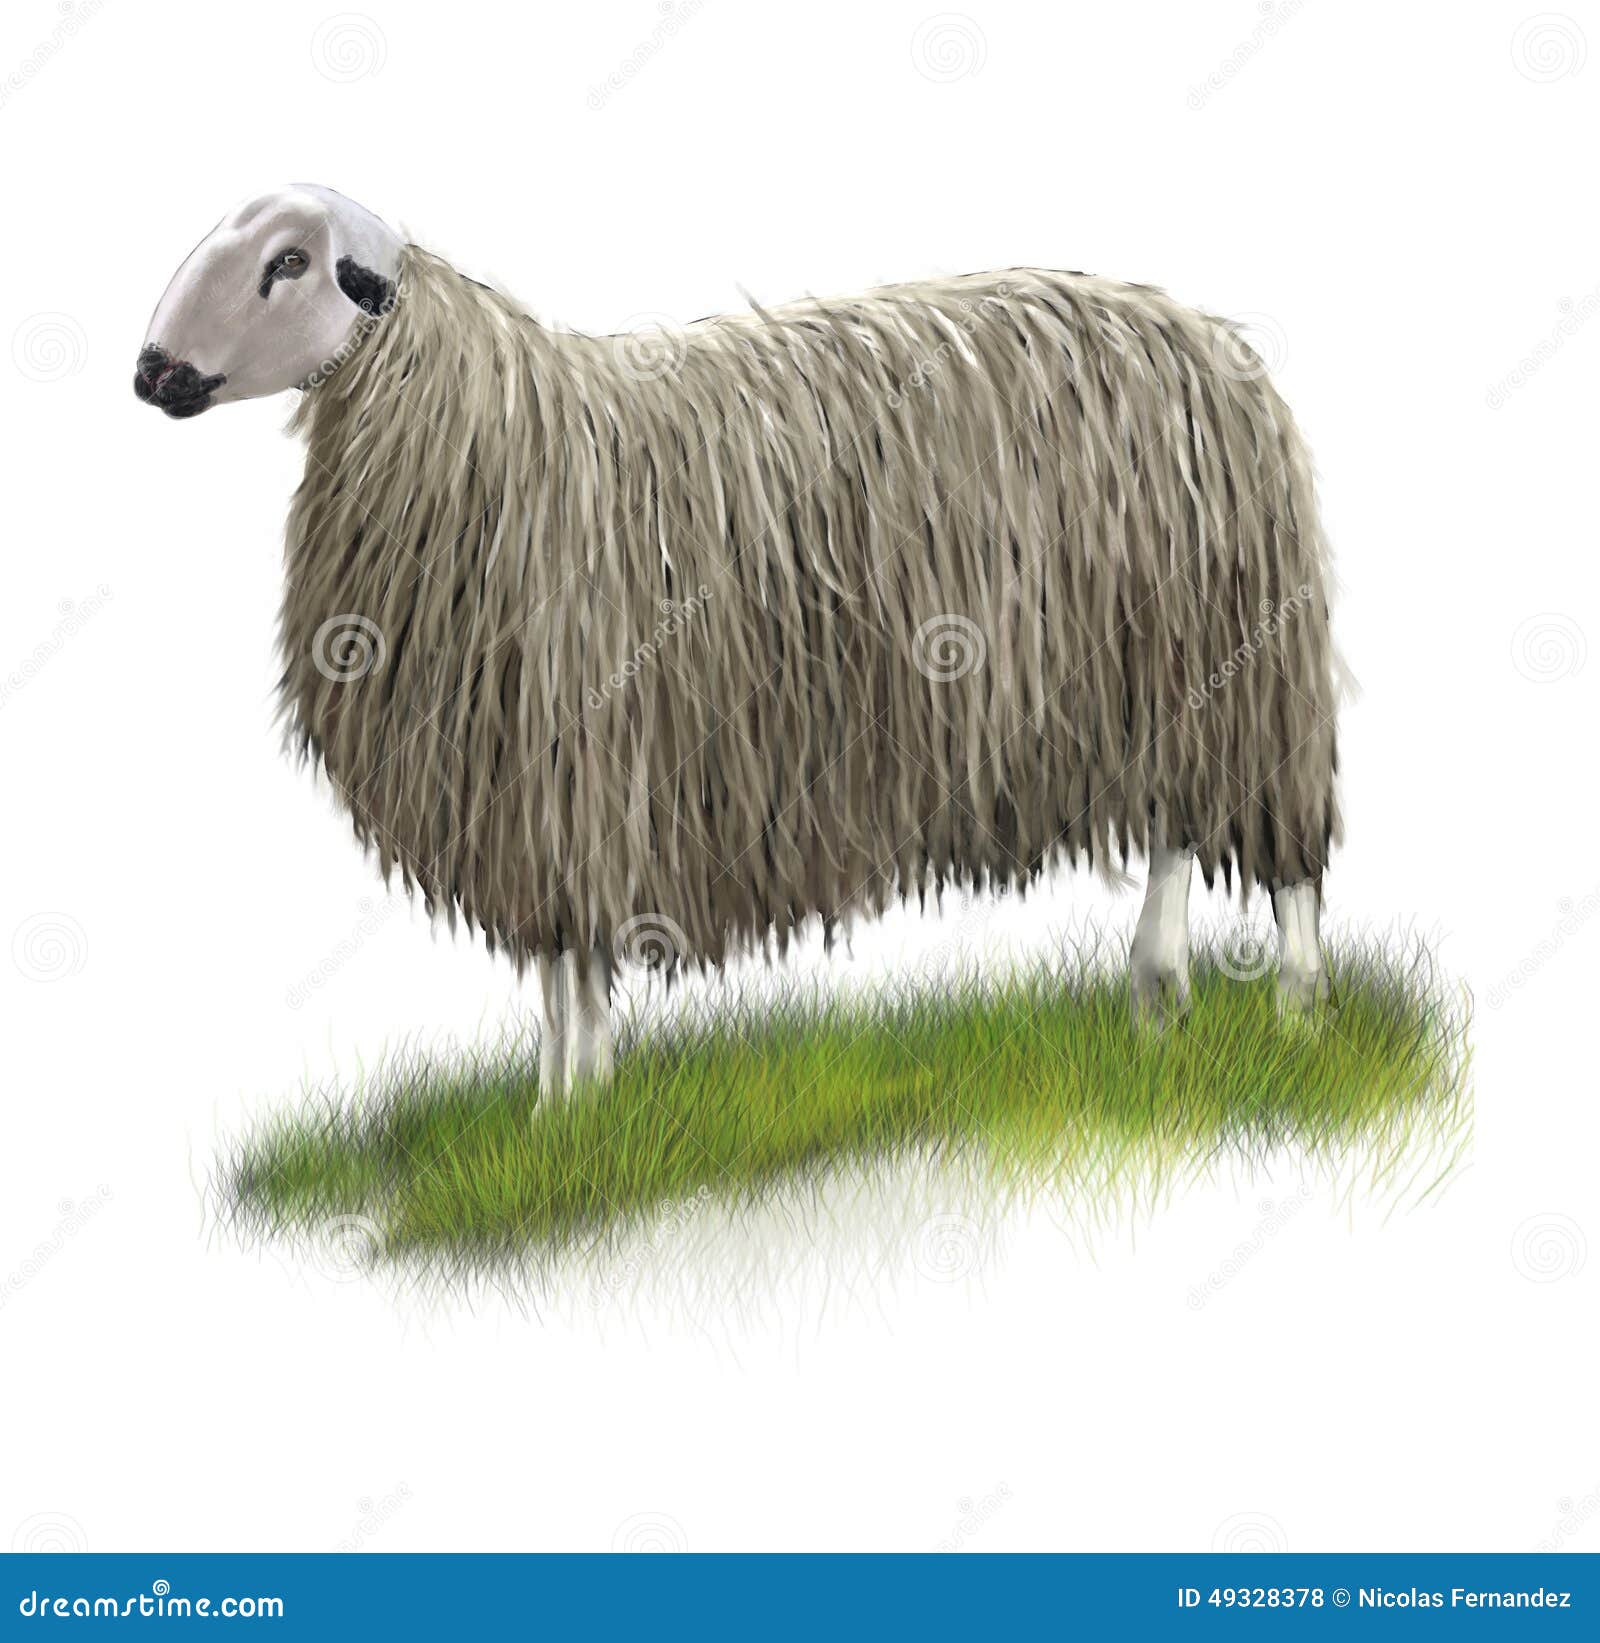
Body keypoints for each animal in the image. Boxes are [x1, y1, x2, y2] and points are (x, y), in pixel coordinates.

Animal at [137, 184, 1340, 1098]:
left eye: (289, 262)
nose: (152, 372)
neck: (480, 430)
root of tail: (1212, 342)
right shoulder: (529, 801)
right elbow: (560, 972)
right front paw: (558, 1107)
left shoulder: (576, 778)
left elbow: (574, 962)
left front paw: (580, 1105)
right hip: (1159, 677)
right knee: (1174, 825)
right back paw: (1158, 993)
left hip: (1239, 657)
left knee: (1275, 849)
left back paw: (1295, 1009)